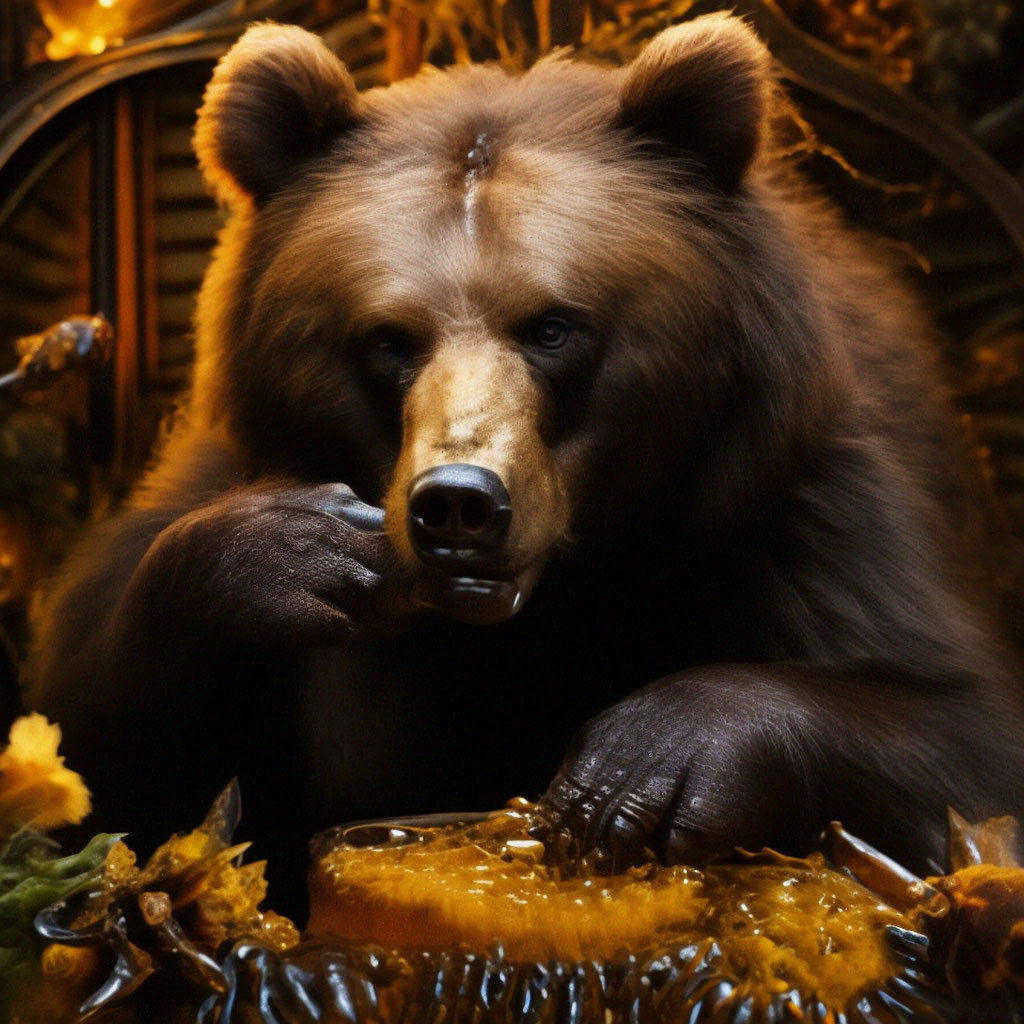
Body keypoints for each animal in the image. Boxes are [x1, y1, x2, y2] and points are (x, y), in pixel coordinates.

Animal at [26, 14, 1024, 918]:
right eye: (388, 339)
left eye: (552, 328)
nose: (459, 505)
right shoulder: (238, 476)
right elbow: (104, 762)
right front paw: (288, 556)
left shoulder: (791, 502)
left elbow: (960, 733)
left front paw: (641, 766)